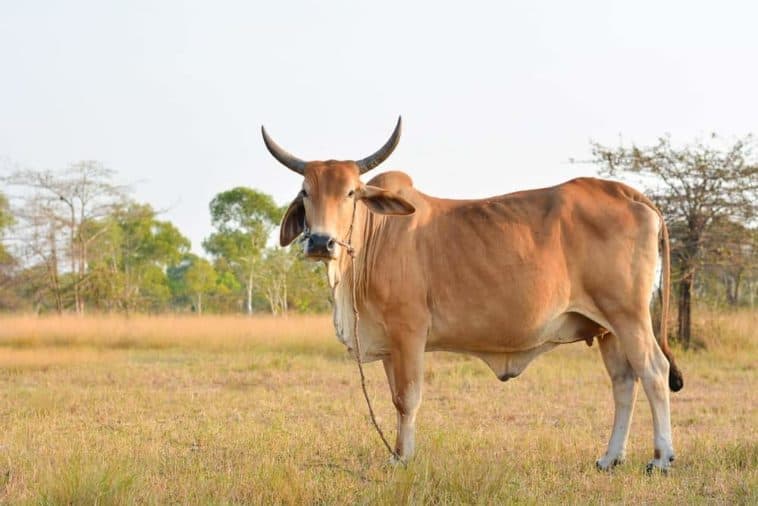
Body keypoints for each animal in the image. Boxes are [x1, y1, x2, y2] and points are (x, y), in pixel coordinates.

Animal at [261, 117, 683, 473]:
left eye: (351, 192)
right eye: (305, 191)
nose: (321, 242)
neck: (375, 236)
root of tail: (625, 191)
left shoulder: (409, 332)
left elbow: (407, 398)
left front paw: (404, 459)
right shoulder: (387, 342)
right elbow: (395, 398)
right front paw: (396, 454)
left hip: (628, 315)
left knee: (653, 371)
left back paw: (661, 458)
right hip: (606, 327)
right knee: (624, 382)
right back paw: (610, 458)